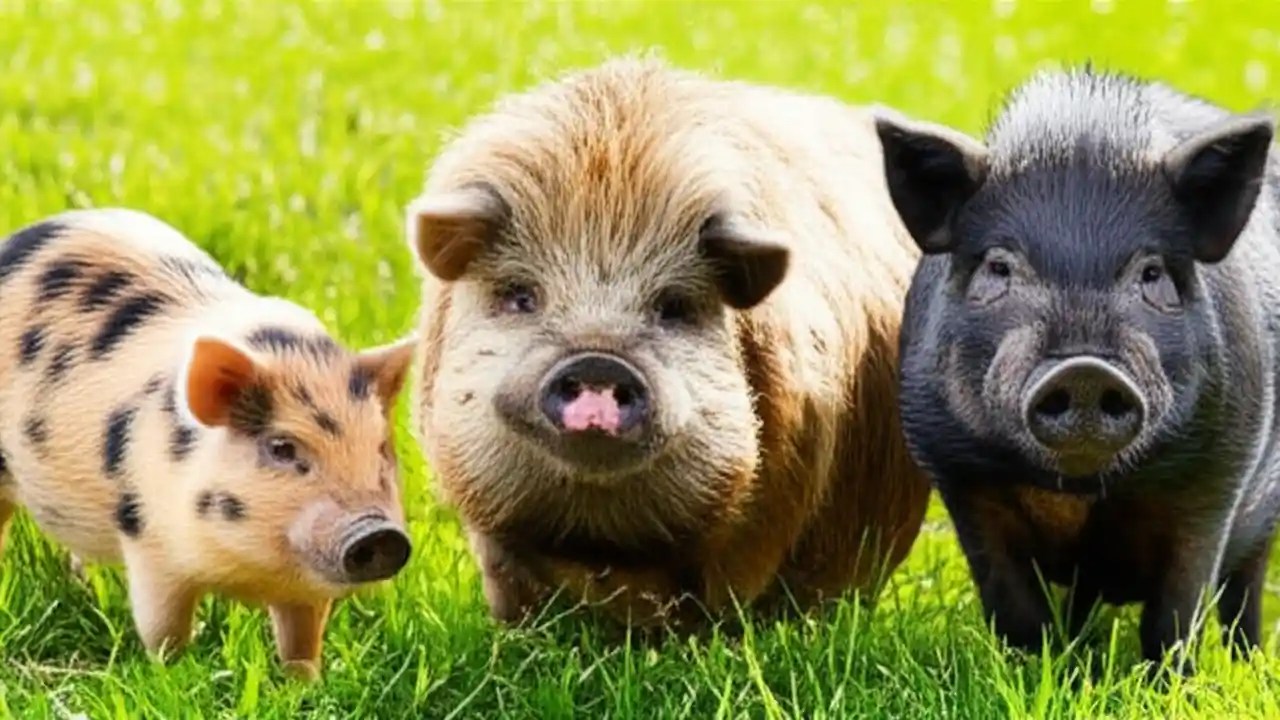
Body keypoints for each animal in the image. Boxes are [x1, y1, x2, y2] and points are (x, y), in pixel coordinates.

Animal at [0, 208, 417, 680]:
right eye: (282, 448)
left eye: (380, 449)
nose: (380, 533)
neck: (247, 571)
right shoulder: (149, 542)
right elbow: (163, 629)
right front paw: (173, 673)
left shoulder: (307, 586)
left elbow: (301, 638)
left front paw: (305, 683)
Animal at [875, 66, 1280, 674]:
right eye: (999, 267)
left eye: (1152, 273)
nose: (1085, 369)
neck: (1081, 493)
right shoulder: (959, 472)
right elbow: (1014, 607)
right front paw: (1038, 671)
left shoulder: (1218, 473)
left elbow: (1177, 613)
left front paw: (1167, 685)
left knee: (1243, 592)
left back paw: (1247, 664)